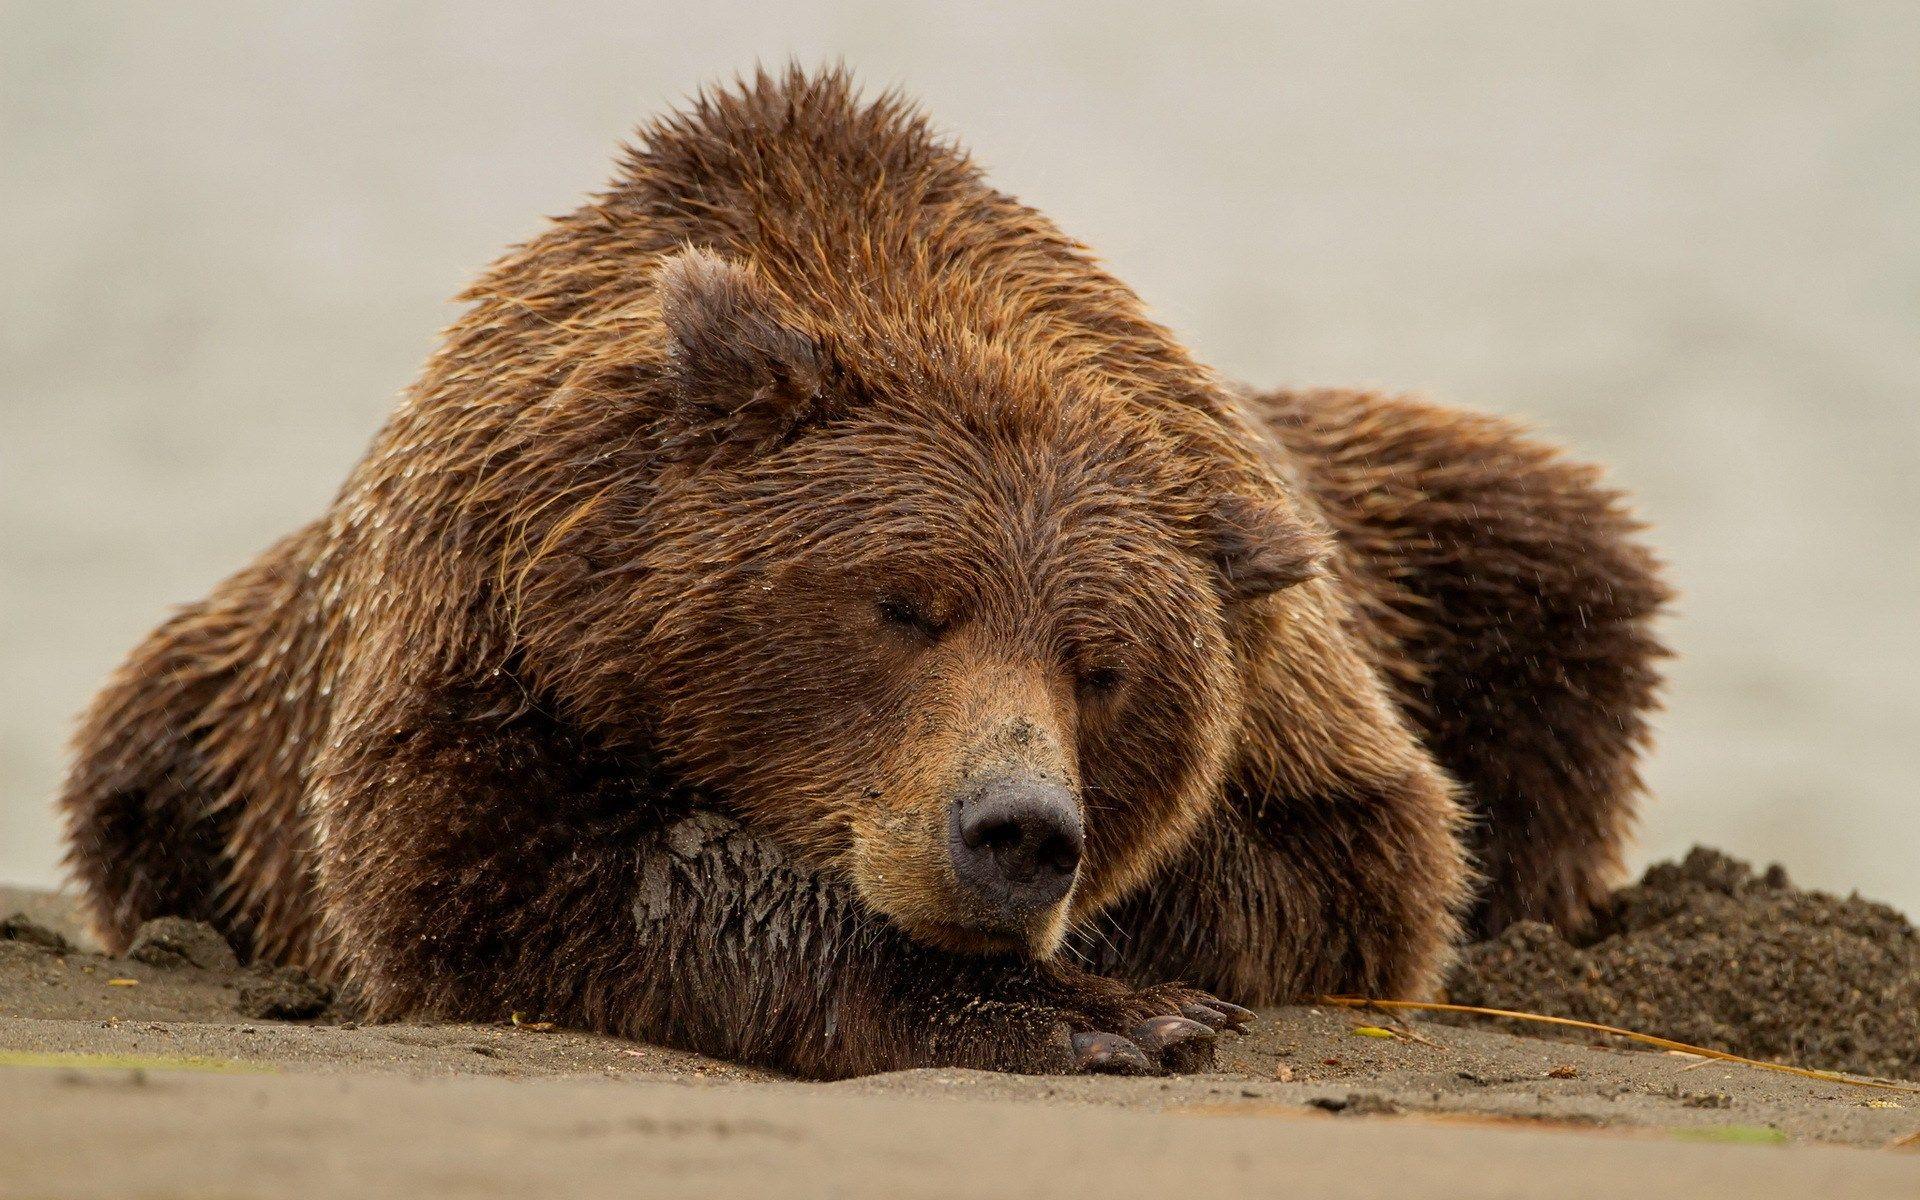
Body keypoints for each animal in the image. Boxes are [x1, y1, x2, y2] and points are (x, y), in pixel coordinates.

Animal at [58, 68, 1667, 1079]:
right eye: (901, 604)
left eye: (1105, 667)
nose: (1016, 832)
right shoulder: (481, 619)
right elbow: (506, 869)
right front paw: (1087, 1014)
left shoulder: (1297, 699)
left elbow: (1350, 867)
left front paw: (1113, 980)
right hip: (193, 724)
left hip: (1451, 527)